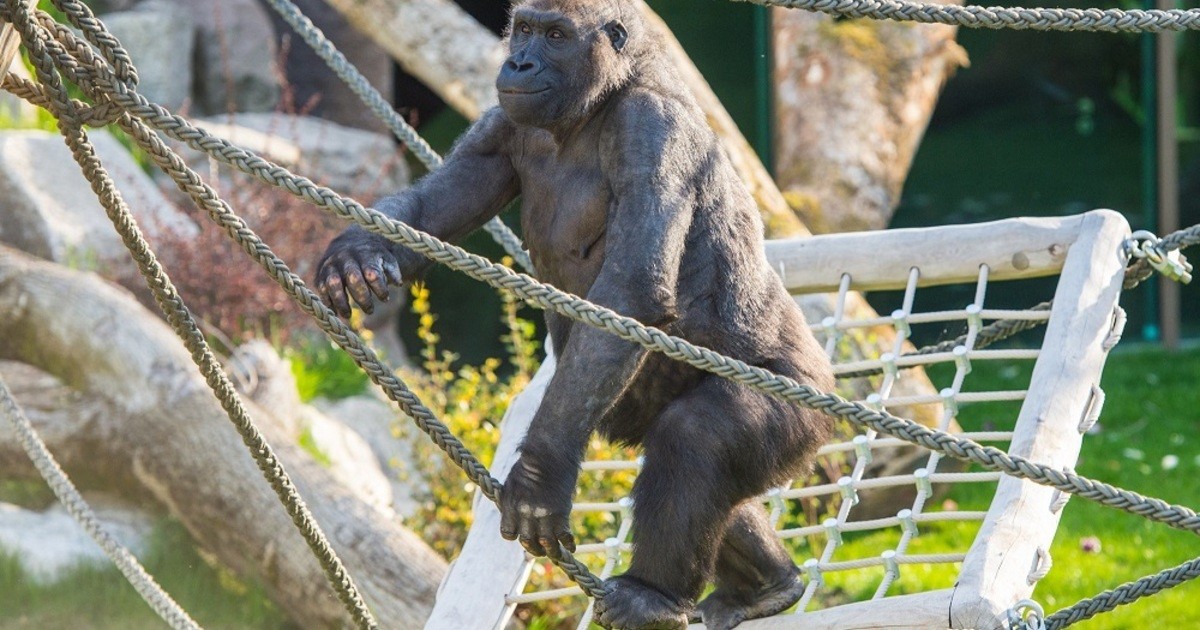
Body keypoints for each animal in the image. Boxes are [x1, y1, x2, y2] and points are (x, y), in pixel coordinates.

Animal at [314, 1, 834, 627]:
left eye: (557, 36)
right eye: (524, 29)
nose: (519, 61)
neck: (595, 104)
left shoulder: (651, 127)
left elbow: (633, 289)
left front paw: (540, 480)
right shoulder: (500, 124)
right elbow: (433, 208)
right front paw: (357, 253)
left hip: (802, 404)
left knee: (696, 440)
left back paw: (653, 594)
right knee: (707, 476)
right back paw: (766, 584)